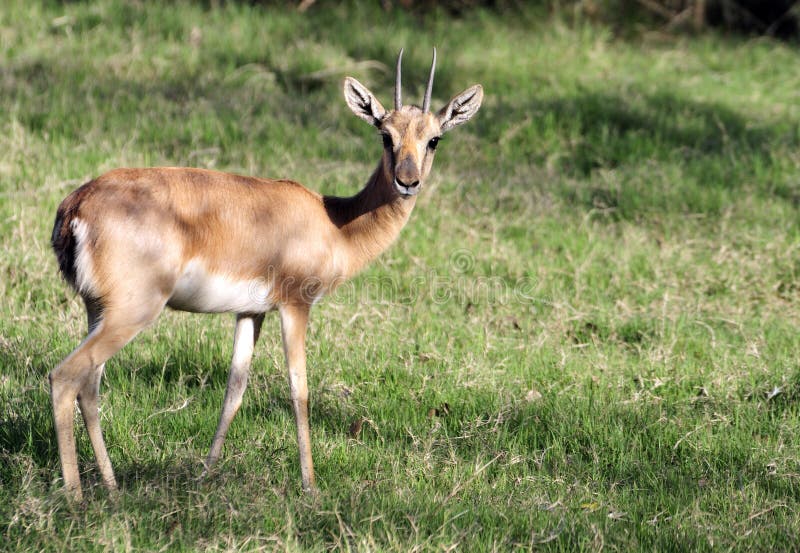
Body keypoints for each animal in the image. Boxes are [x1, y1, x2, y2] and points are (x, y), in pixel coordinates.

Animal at [49, 49, 483, 500]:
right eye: (385, 135)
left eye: (434, 138)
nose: (407, 181)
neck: (334, 223)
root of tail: (75, 204)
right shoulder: (295, 305)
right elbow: (299, 391)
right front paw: (310, 487)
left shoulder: (250, 312)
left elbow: (234, 390)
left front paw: (205, 475)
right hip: (131, 313)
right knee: (64, 377)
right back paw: (76, 498)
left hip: (99, 312)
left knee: (89, 387)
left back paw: (113, 488)